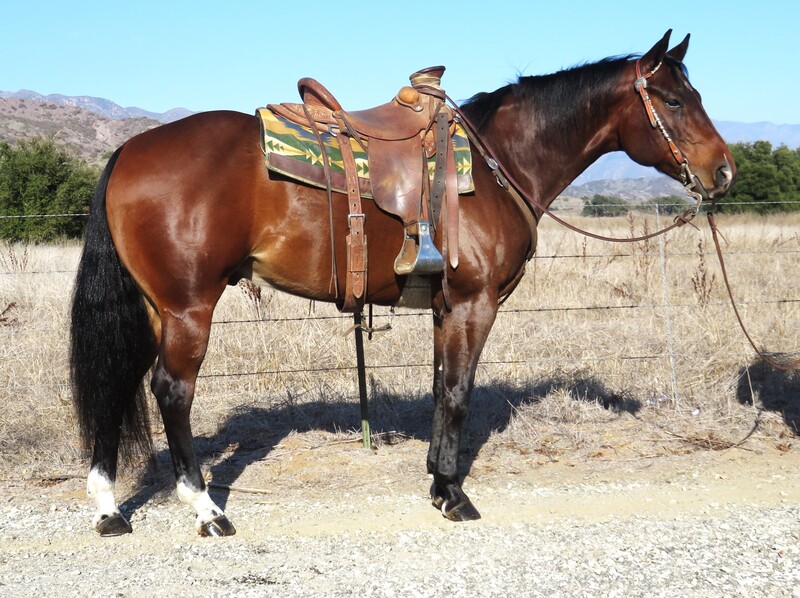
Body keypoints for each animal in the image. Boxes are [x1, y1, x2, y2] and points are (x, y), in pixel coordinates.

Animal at [70, 30, 734, 537]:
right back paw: (206, 510)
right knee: (171, 392)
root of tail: (130, 149)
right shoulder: (473, 304)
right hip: (188, 307)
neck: (497, 164)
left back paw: (109, 509)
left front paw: (439, 482)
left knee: (115, 382)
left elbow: (442, 390)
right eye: (674, 100)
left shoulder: (445, 307)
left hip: (154, 308)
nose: (723, 171)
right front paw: (455, 495)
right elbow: (459, 392)